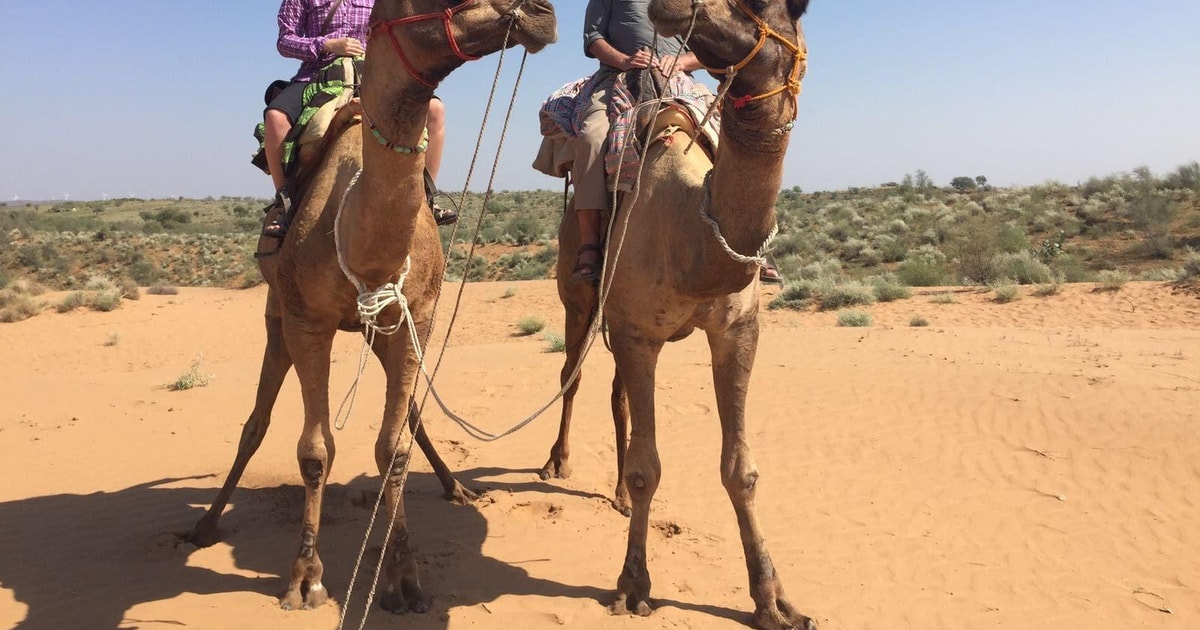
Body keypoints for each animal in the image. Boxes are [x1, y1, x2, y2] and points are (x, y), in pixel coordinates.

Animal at [186, 0, 557, 614]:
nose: (542, 13)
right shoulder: (307, 323)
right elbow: (315, 451)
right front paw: (305, 579)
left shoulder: (414, 318)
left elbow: (394, 447)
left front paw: (404, 577)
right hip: (276, 317)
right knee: (256, 421)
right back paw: (204, 525)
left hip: (377, 330)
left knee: (409, 414)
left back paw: (458, 487)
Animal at [542, 1, 814, 628]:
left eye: (764, 7)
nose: (672, 8)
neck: (695, 238)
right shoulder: (639, 334)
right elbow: (650, 467)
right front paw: (632, 585)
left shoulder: (737, 330)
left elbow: (741, 469)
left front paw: (773, 600)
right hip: (579, 298)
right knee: (572, 375)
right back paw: (557, 464)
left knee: (615, 394)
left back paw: (616, 495)